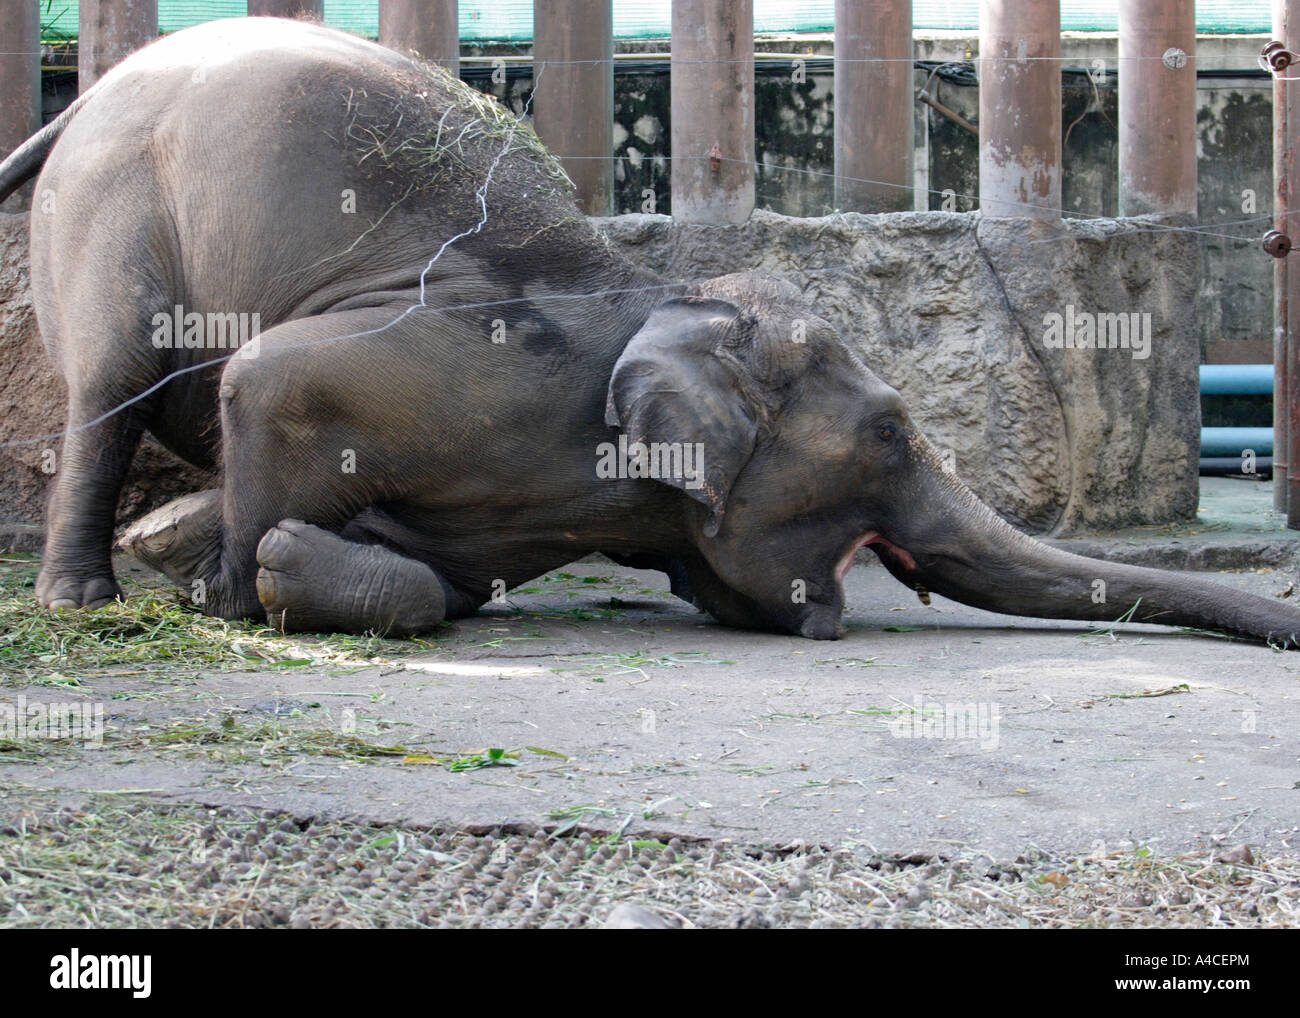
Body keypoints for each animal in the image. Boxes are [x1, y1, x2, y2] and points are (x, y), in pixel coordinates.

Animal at [2, 17, 1298, 646]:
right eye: (888, 431)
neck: (661, 291)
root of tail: (89, 91)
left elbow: (445, 578)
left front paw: (231, 560)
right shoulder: (474, 364)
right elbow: (274, 380)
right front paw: (233, 591)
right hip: (110, 214)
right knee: (109, 384)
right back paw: (86, 602)